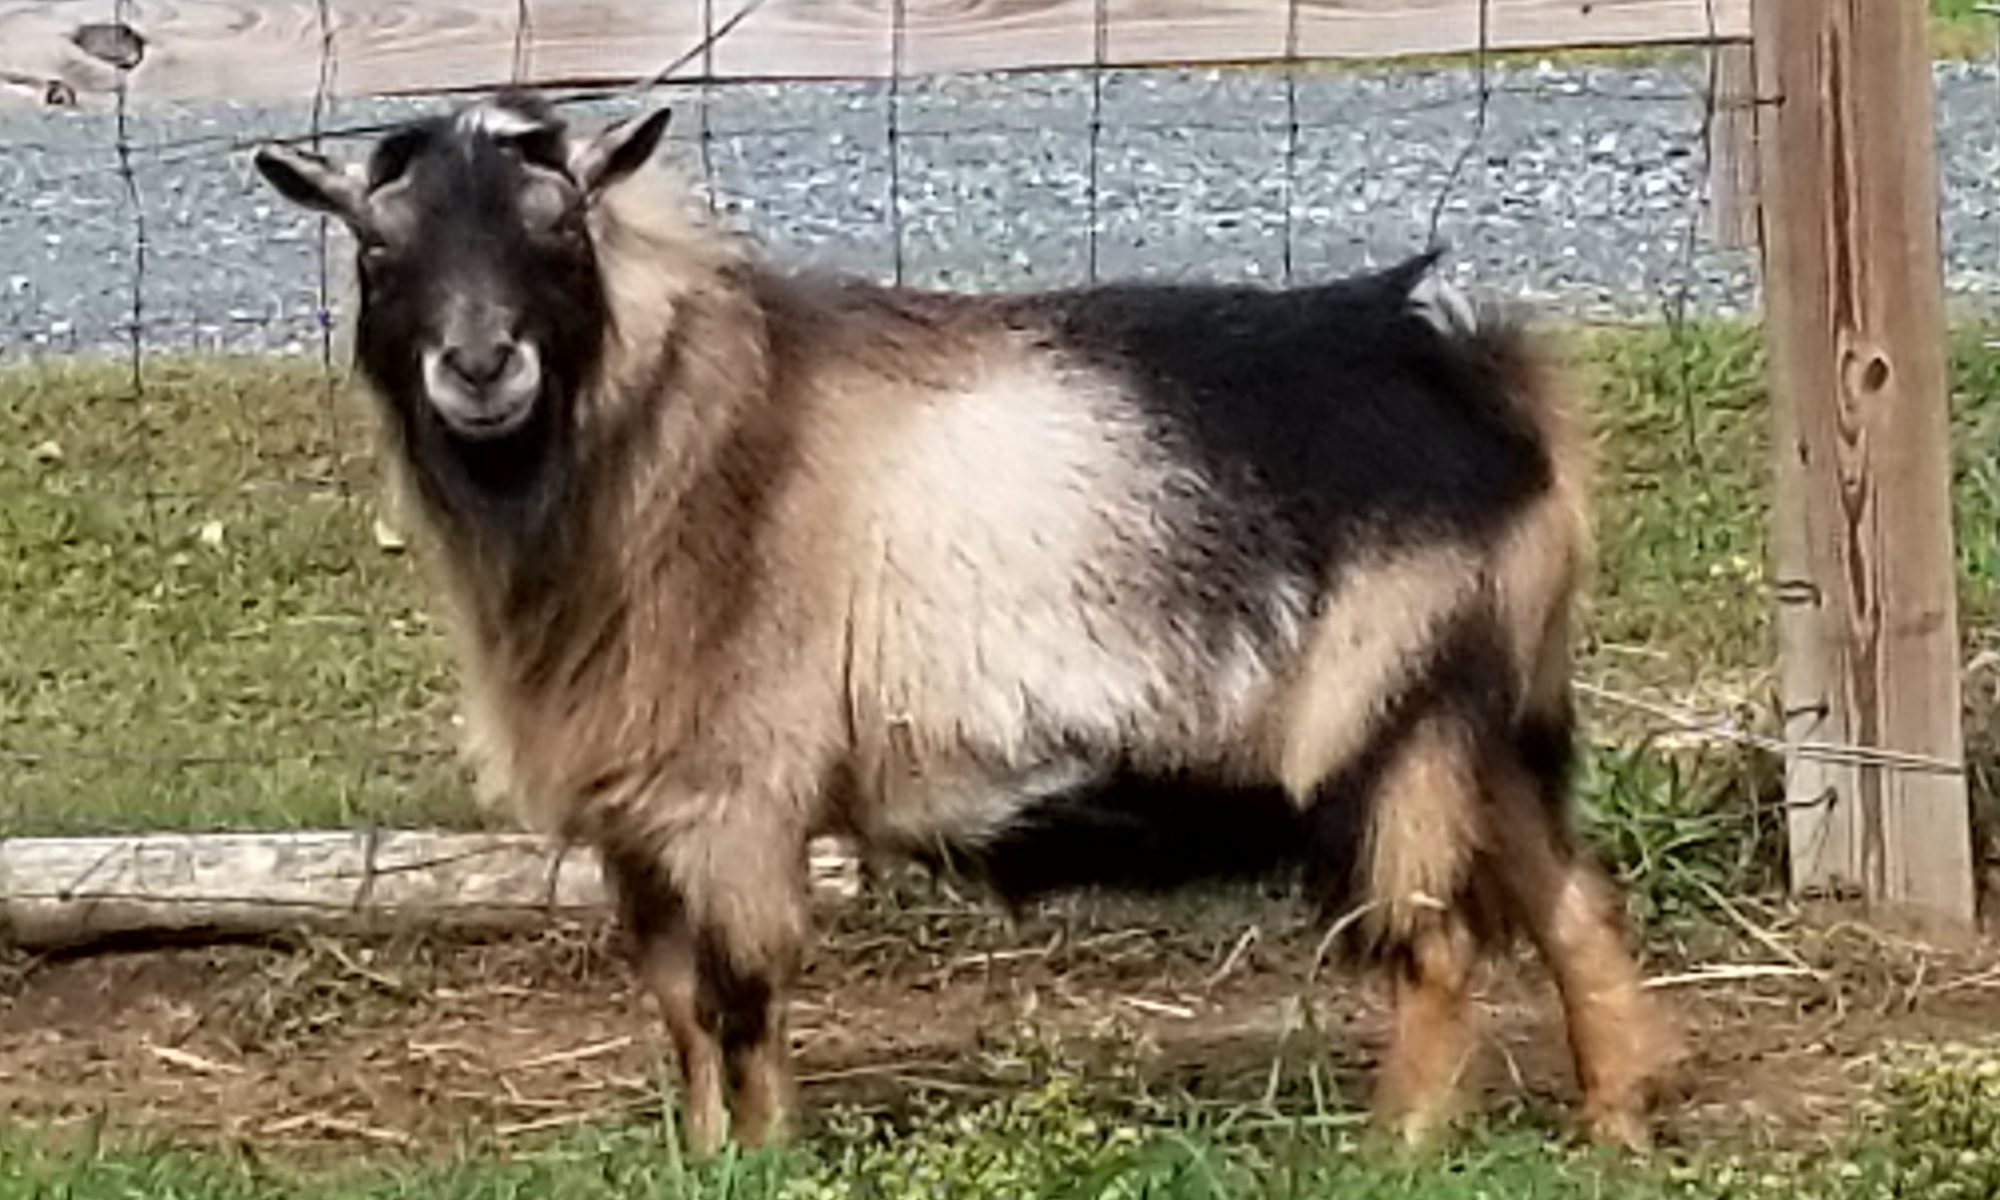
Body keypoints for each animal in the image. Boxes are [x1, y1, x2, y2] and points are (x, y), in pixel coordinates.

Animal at [252, 89, 1682, 1155]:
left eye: (559, 235)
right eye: (377, 252)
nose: (480, 366)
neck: (694, 434)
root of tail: (1489, 386)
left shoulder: (734, 796)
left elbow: (737, 1000)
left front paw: (762, 1161)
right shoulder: (637, 813)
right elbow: (674, 1005)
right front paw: (703, 1159)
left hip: (1387, 718)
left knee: (1435, 947)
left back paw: (1394, 1152)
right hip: (1483, 710)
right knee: (1572, 903)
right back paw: (1612, 1127)